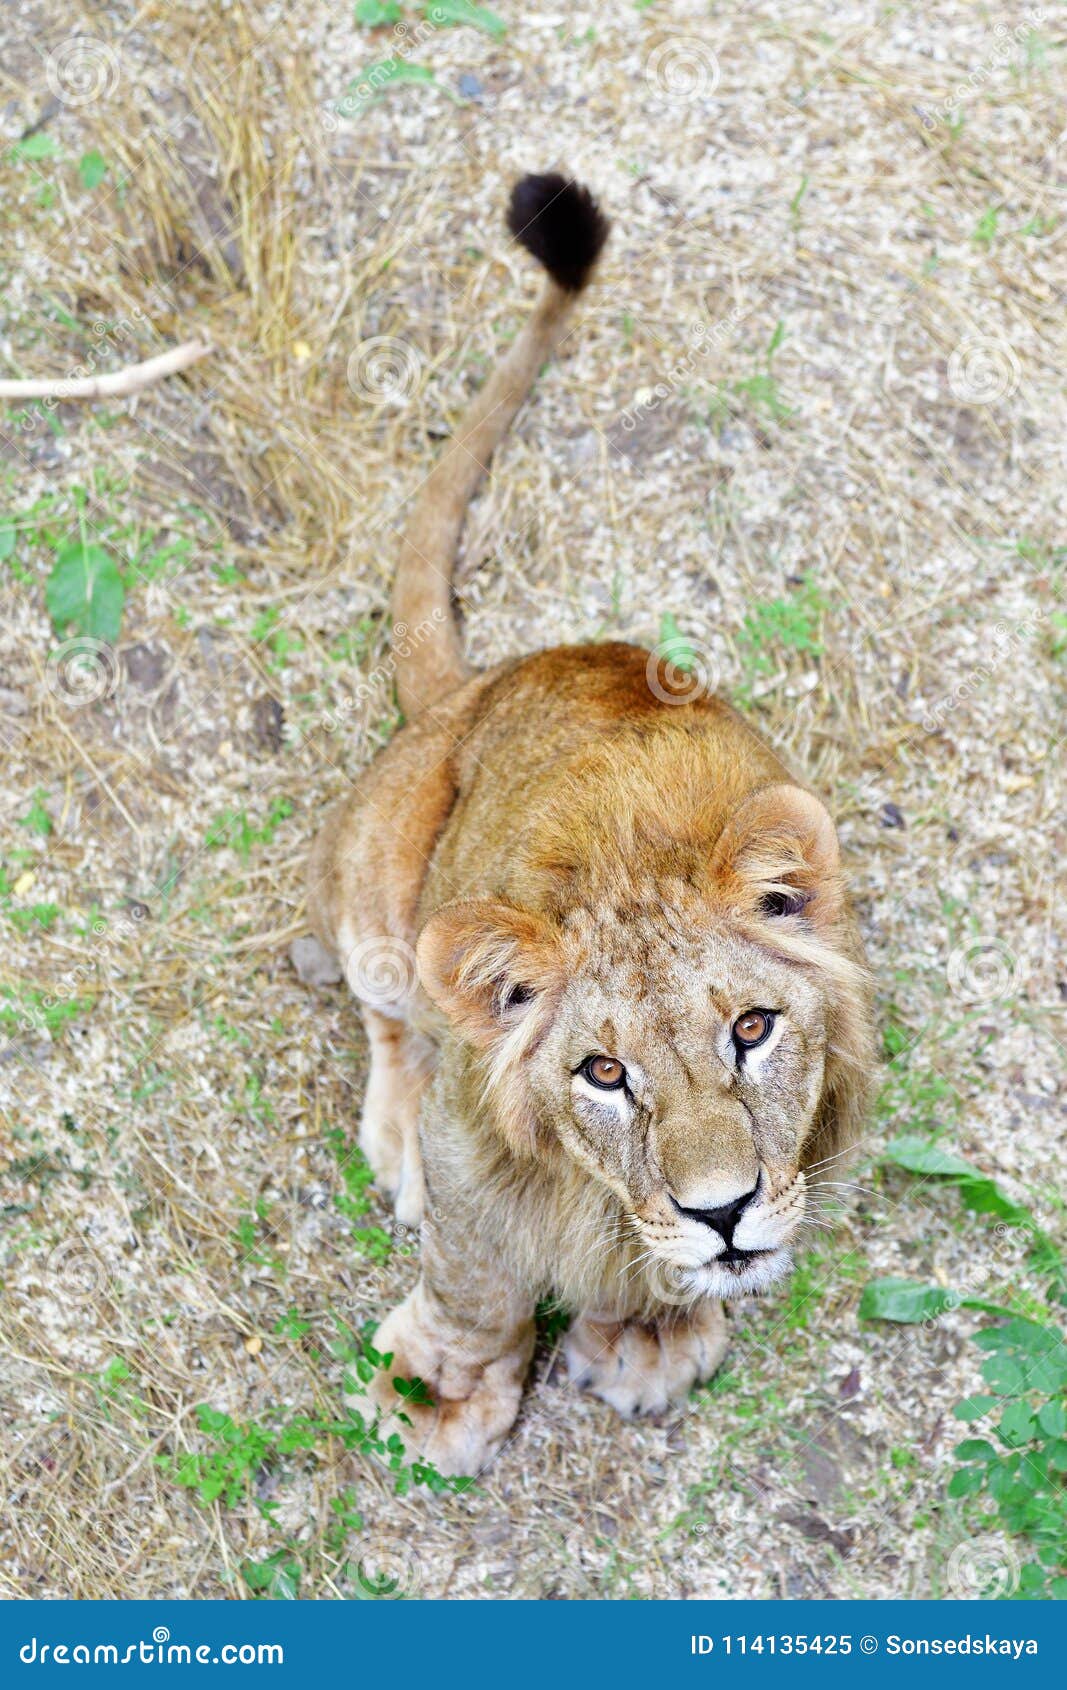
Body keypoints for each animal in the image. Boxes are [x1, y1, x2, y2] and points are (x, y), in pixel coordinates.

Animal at [307, 173, 875, 1476]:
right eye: (601, 1073)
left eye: (753, 1028)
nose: (722, 1213)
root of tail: (481, 680)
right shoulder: (478, 1147)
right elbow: (474, 1275)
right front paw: (434, 1395)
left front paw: (649, 1336)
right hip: (380, 891)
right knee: (390, 1015)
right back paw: (394, 1139)